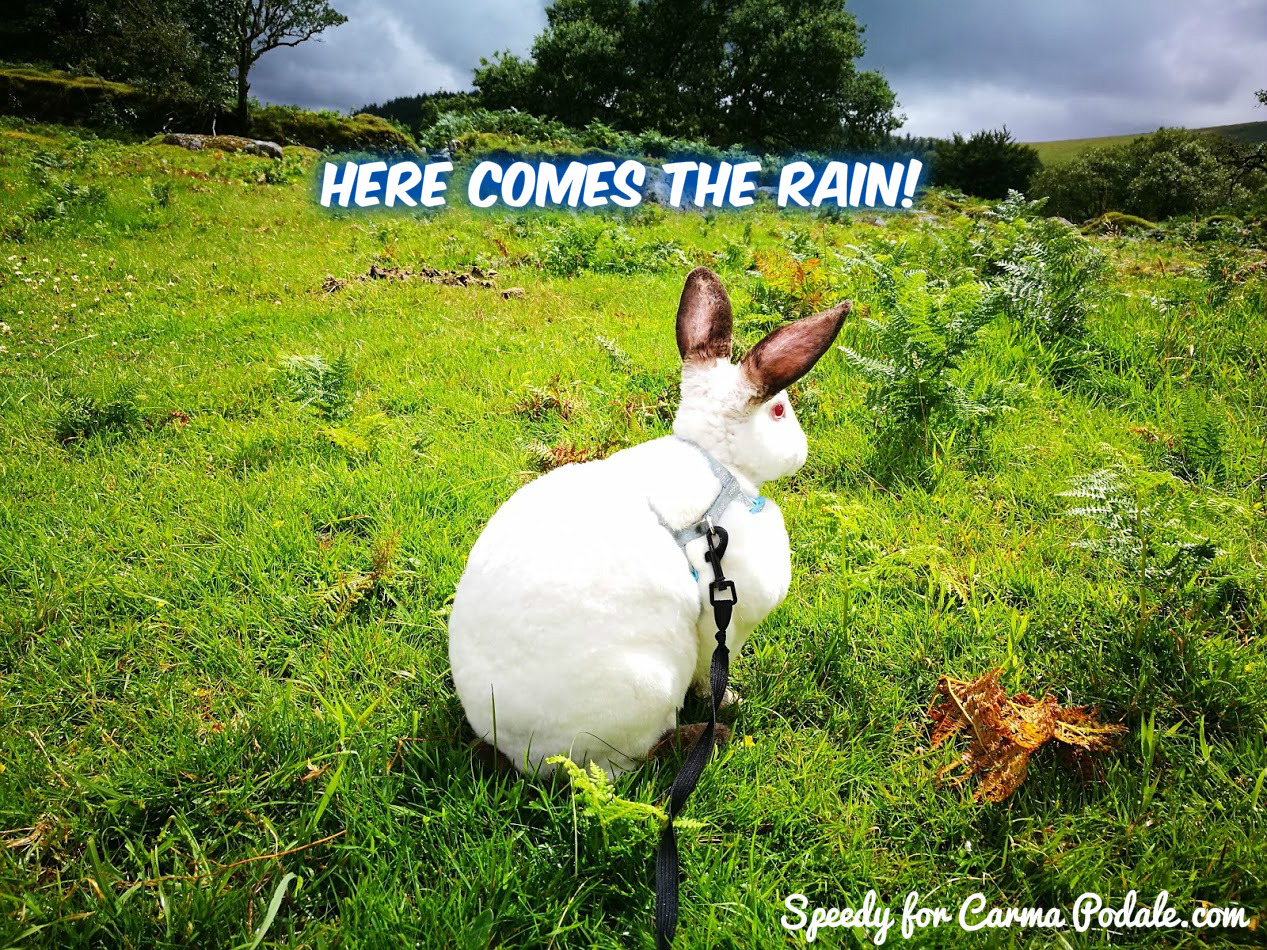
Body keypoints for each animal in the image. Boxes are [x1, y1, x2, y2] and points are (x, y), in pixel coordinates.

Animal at [448, 266, 850, 777]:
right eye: (779, 411)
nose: (802, 451)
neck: (717, 463)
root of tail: (527, 757)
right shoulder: (726, 622)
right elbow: (709, 674)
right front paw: (730, 699)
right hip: (648, 687)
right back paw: (709, 734)